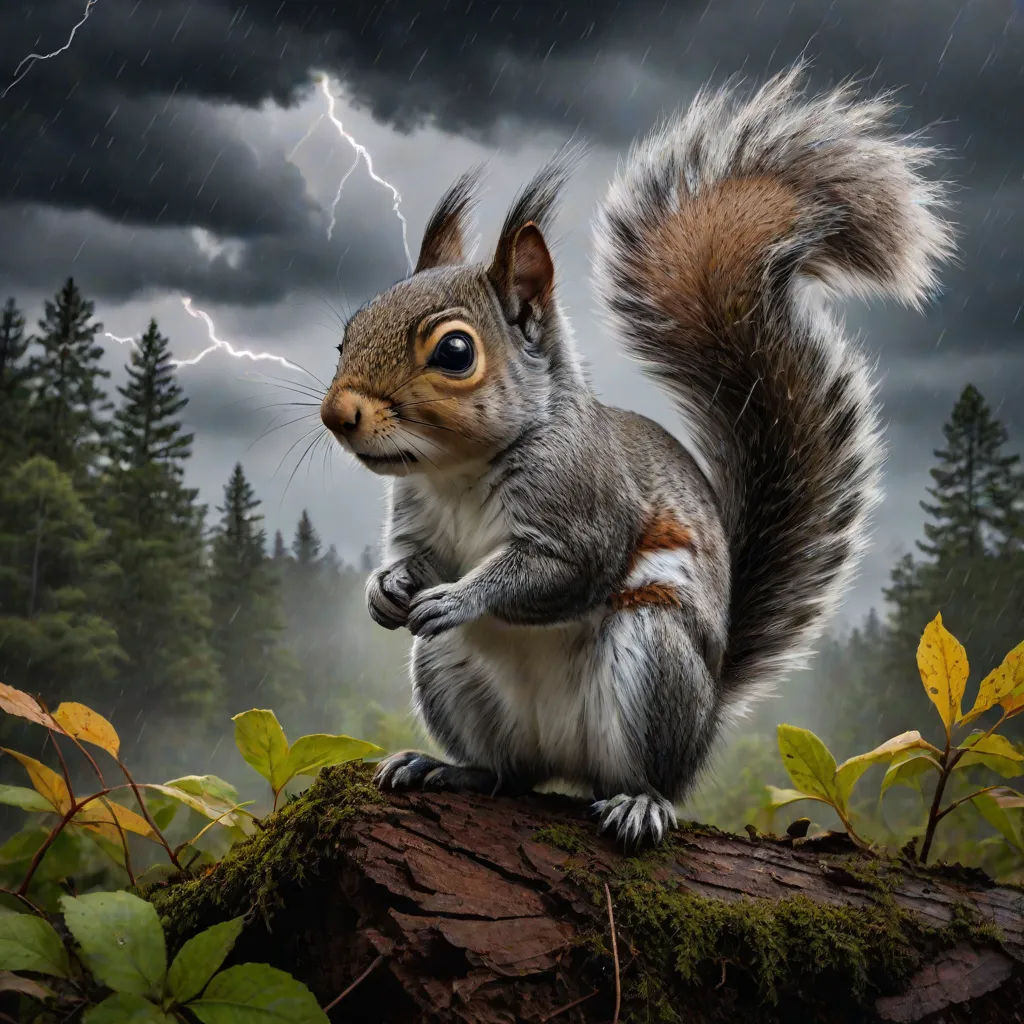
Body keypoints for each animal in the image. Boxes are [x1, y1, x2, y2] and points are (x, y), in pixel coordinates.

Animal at [320, 64, 952, 848]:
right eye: (348, 331)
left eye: (456, 352)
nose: (337, 415)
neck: (458, 471)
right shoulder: (417, 516)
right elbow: (418, 557)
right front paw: (387, 588)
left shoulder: (584, 506)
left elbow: (560, 571)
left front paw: (458, 595)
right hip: (449, 670)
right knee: (510, 773)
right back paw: (448, 767)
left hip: (652, 661)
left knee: (647, 775)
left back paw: (640, 803)